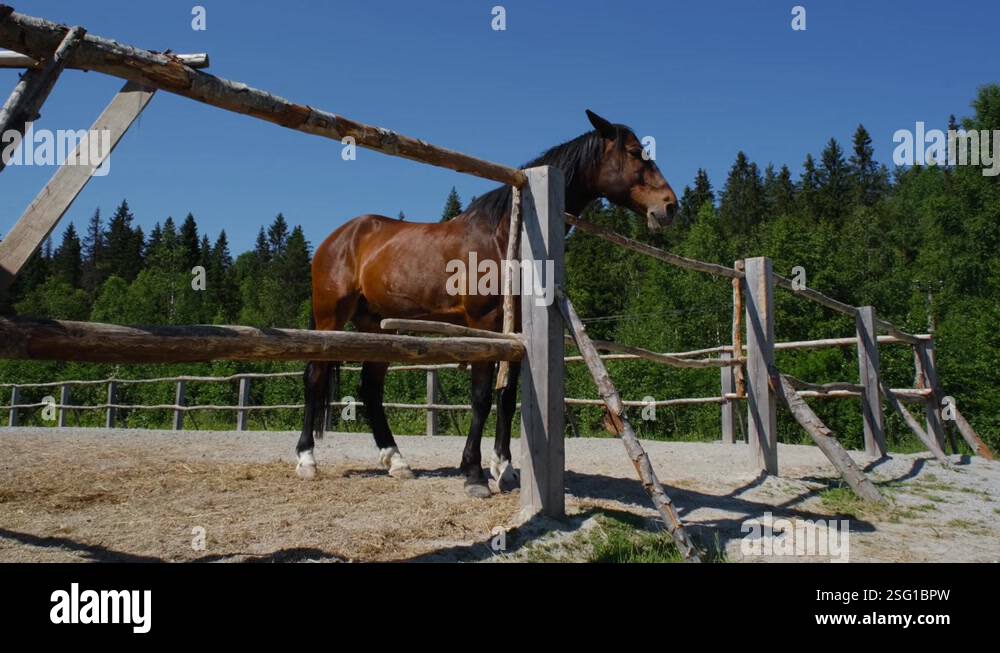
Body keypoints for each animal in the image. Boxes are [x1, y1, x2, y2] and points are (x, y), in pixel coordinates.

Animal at [296, 110, 678, 497]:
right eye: (634, 152)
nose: (669, 205)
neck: (505, 236)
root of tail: (338, 237)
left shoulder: (517, 333)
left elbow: (506, 398)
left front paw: (504, 469)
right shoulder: (484, 325)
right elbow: (481, 396)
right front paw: (474, 473)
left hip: (376, 324)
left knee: (371, 389)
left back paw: (397, 462)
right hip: (330, 317)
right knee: (315, 377)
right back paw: (306, 459)